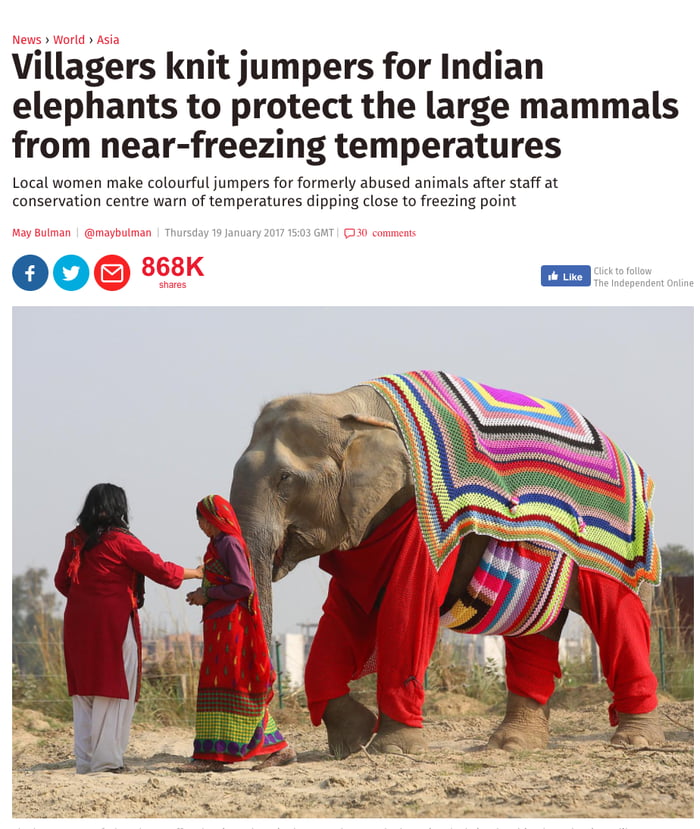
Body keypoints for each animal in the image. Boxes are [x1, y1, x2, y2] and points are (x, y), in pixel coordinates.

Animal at [229, 371, 664, 757]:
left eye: (285, 479)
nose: (276, 754)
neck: (348, 402)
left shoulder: (422, 517)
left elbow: (407, 603)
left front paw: (393, 750)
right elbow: (344, 611)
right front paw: (353, 742)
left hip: (623, 547)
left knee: (619, 617)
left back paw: (634, 742)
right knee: (534, 634)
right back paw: (512, 746)